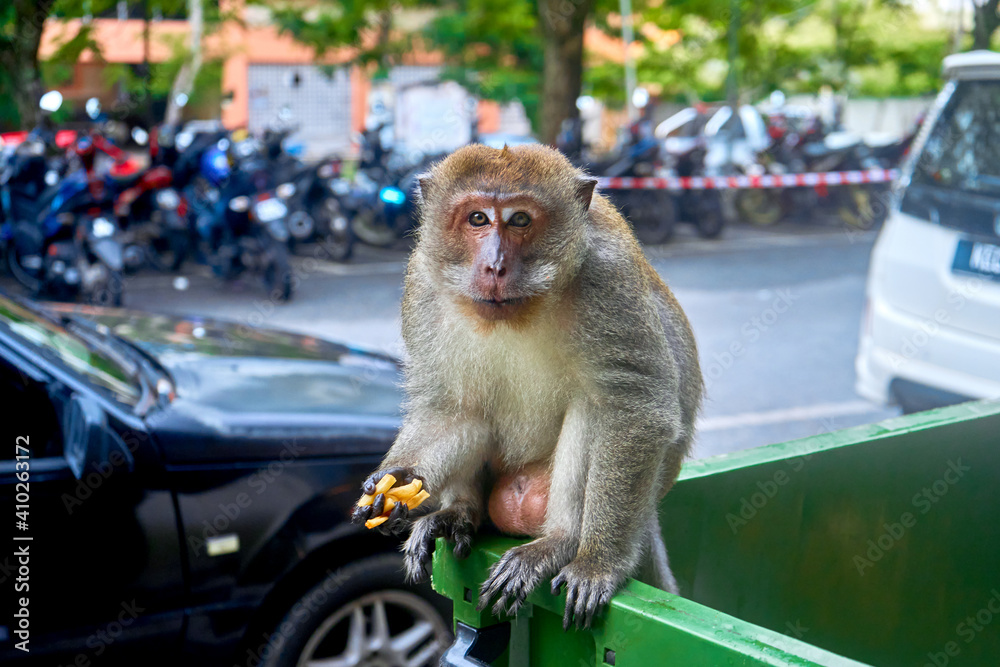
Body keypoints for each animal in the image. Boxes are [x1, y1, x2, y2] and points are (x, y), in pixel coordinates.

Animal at [351, 143, 703, 629]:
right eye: (477, 218)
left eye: (519, 219)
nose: (495, 265)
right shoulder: (421, 282)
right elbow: (448, 408)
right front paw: (398, 480)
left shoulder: (607, 280)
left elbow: (636, 409)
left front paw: (599, 562)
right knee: (473, 409)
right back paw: (460, 514)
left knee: (593, 406)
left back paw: (560, 542)